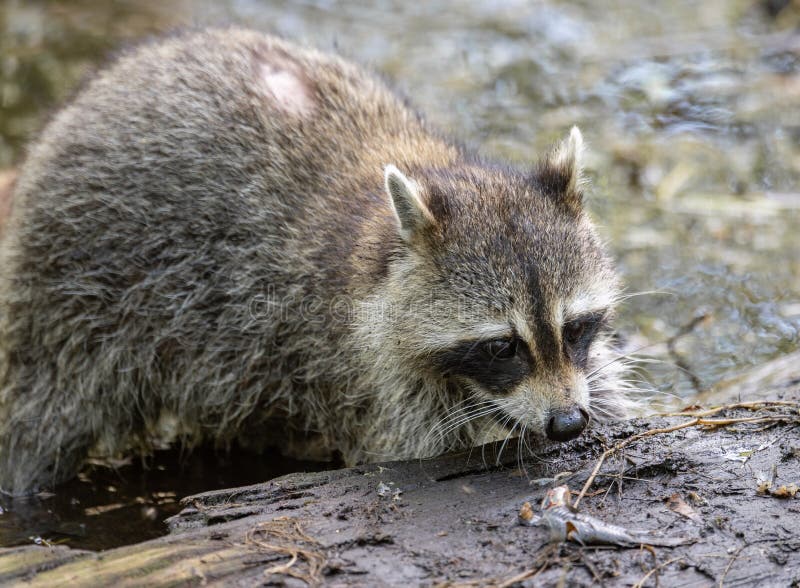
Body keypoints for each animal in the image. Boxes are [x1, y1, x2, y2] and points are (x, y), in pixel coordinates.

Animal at [0, 29, 631, 495]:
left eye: (576, 327)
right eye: (502, 346)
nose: (568, 424)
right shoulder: (364, 369)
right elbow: (410, 443)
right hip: (72, 291)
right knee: (39, 411)